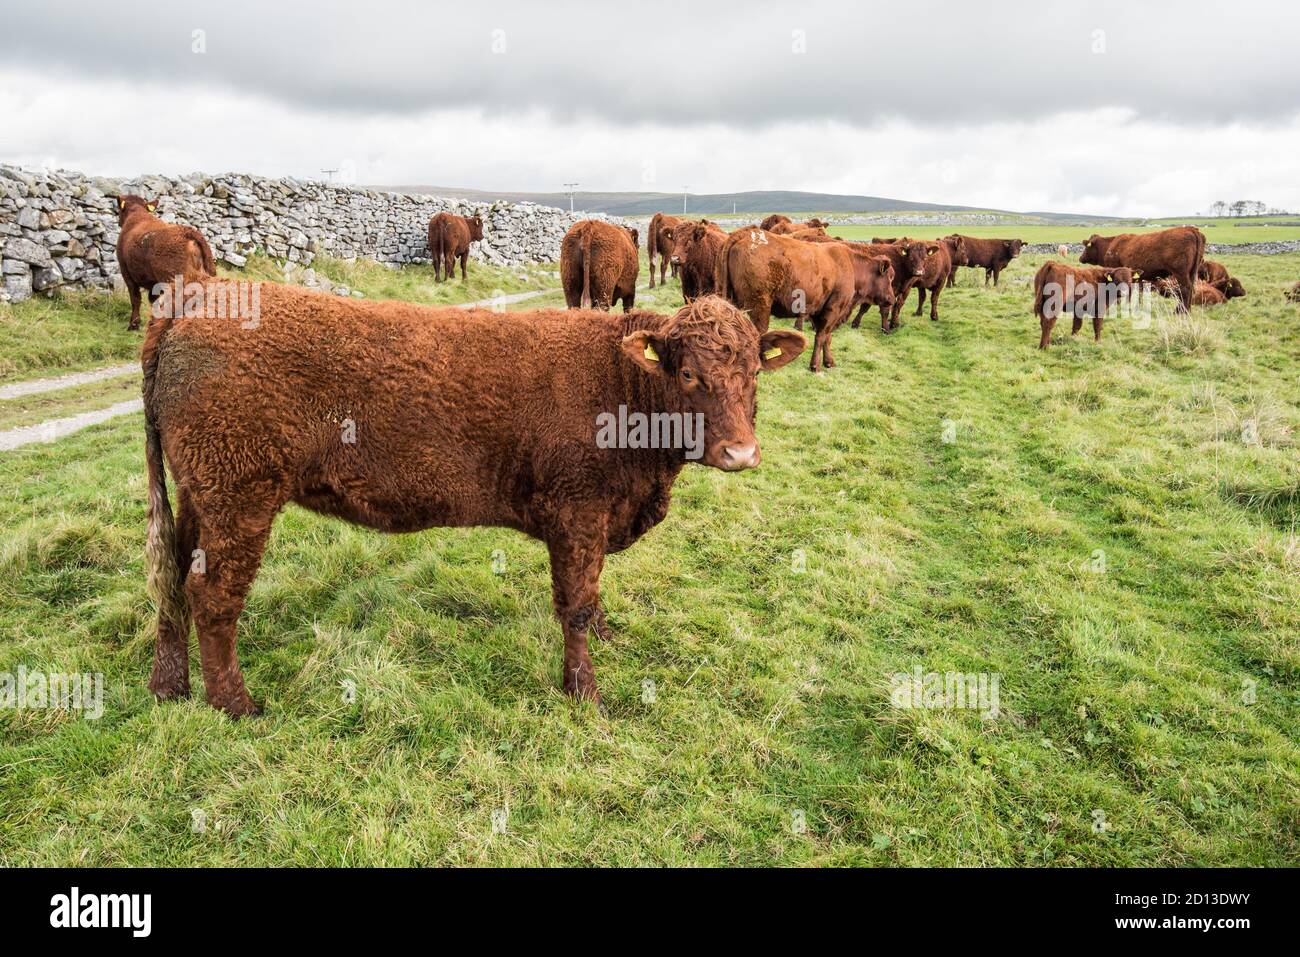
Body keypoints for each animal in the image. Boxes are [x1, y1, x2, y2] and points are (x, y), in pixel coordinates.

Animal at [139, 287, 806, 715]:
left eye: (754, 373)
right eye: (688, 374)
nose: (741, 453)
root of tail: (196, 300)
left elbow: (593, 593)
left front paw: (607, 640)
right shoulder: (577, 511)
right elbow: (575, 606)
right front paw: (584, 695)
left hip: (199, 493)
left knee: (173, 576)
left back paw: (170, 686)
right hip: (239, 494)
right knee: (212, 596)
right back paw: (236, 706)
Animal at [713, 227, 860, 371]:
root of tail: (747, 232)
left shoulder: (818, 309)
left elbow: (826, 337)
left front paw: (828, 362)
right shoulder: (834, 307)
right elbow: (822, 336)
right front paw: (816, 366)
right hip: (760, 304)